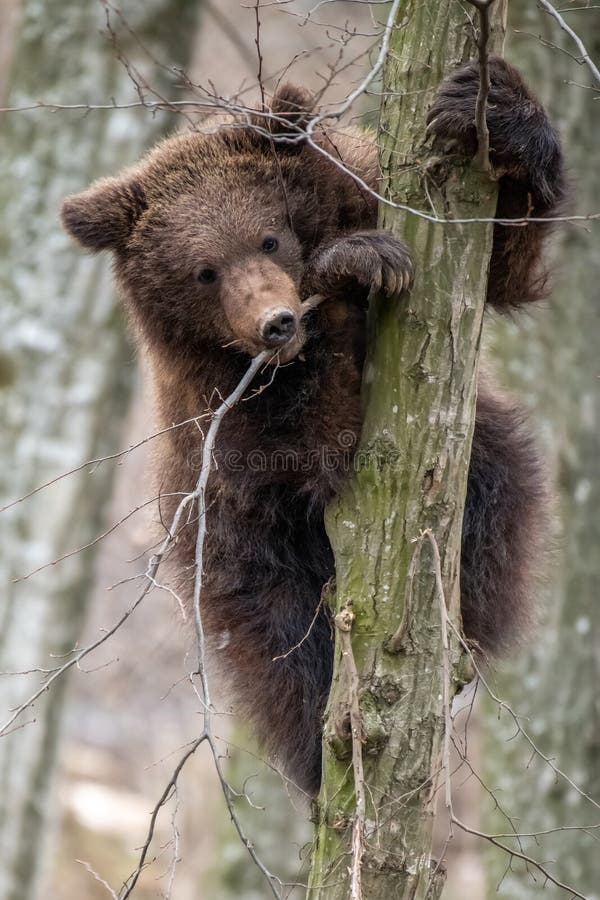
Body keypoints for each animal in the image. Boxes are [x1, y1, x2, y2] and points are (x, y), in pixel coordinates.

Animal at [61, 58, 565, 796]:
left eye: (269, 236)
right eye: (203, 271)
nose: (275, 321)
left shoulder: (386, 202)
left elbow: (501, 263)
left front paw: (495, 110)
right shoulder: (221, 416)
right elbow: (316, 448)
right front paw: (353, 266)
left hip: (482, 455)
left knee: (490, 514)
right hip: (236, 554)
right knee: (284, 658)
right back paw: (319, 747)